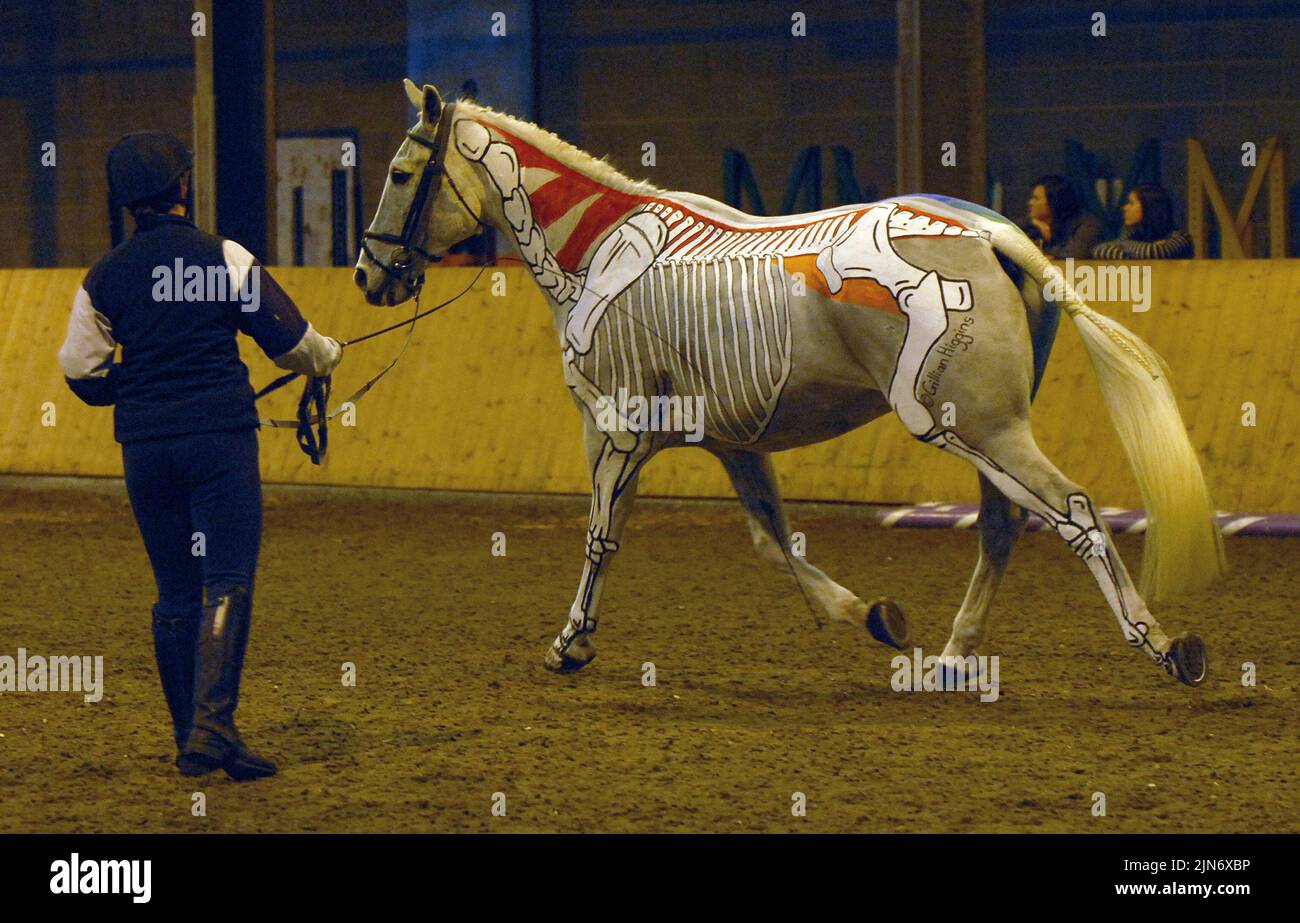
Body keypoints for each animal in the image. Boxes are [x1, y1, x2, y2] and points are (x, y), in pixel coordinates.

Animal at [354, 80, 1225, 687]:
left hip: (965, 425)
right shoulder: (730, 441)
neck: (602, 251)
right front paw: (871, 615)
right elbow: (772, 542)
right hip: (989, 429)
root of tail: (994, 234)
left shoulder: (616, 429)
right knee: (1005, 526)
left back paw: (1162, 645)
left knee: (1073, 512)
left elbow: (602, 536)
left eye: (400, 172)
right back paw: (950, 655)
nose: (368, 276)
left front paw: (570, 643)